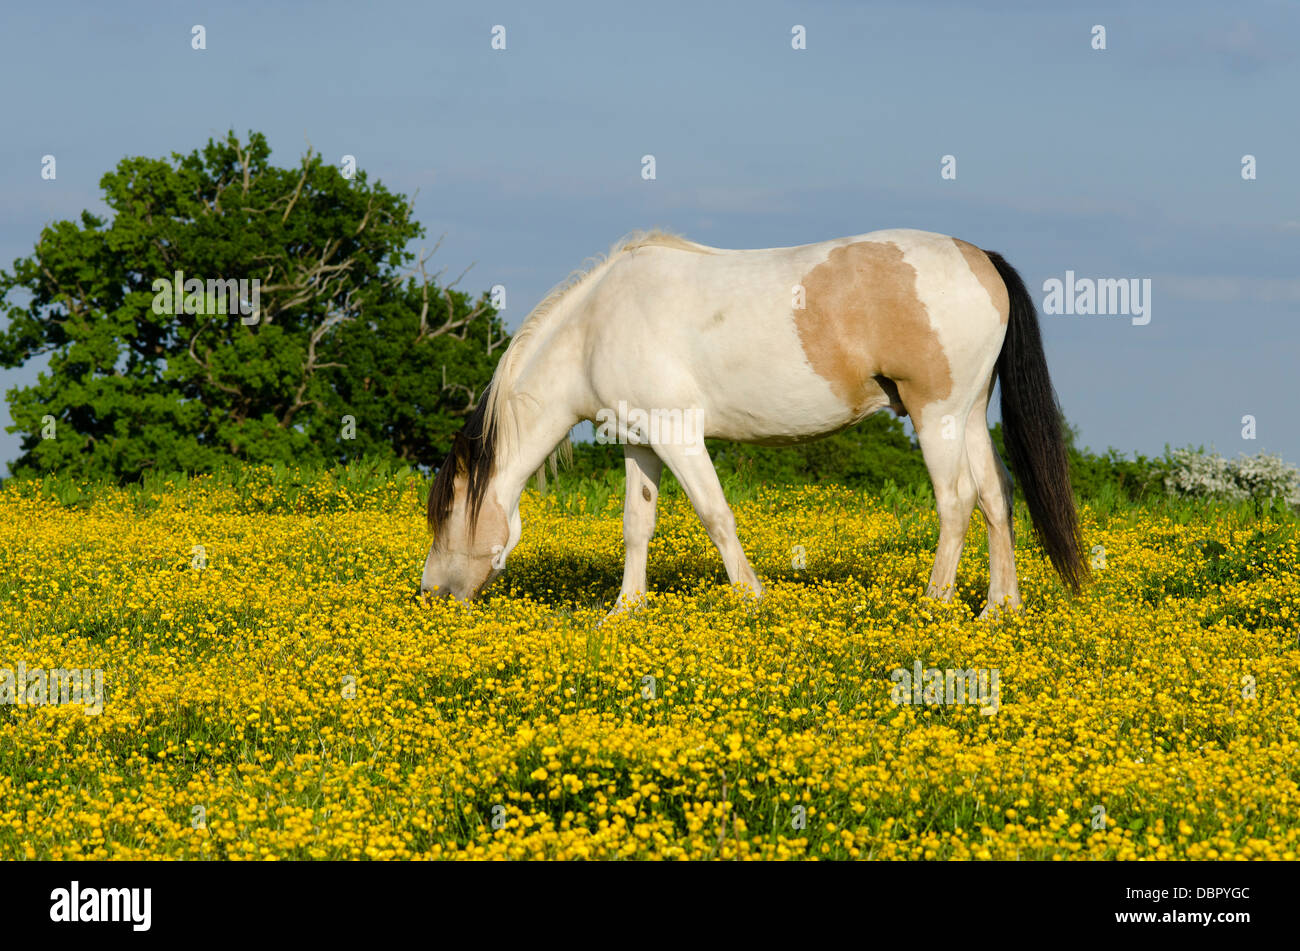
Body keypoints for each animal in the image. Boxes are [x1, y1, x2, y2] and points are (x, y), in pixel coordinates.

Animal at [421, 229, 1087, 617]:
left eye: (446, 511)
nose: (431, 594)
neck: (595, 326)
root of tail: (981, 260)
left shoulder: (679, 436)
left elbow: (716, 515)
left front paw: (751, 600)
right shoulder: (640, 445)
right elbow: (637, 525)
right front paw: (625, 611)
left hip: (938, 416)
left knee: (957, 501)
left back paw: (932, 605)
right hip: (969, 416)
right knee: (998, 497)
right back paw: (998, 610)